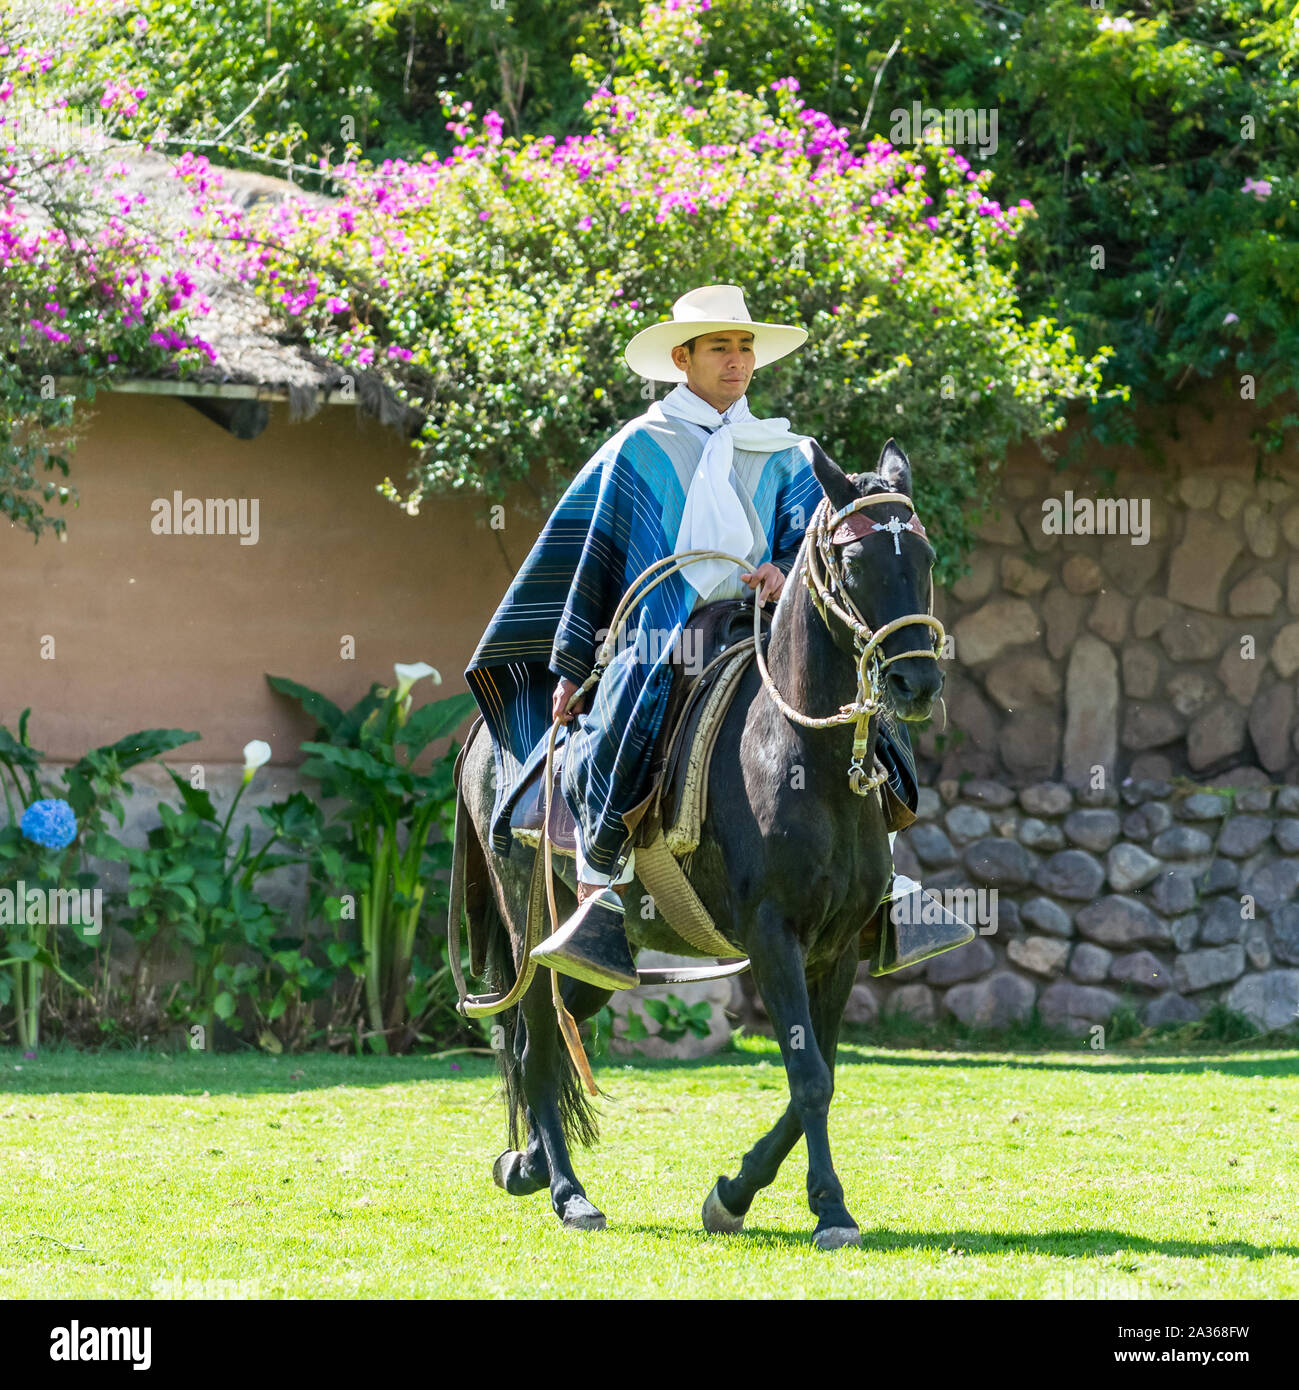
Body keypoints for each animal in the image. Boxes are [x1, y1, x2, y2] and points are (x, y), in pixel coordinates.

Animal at [454, 437, 943, 1248]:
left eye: (925, 557)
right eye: (852, 562)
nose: (916, 683)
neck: (803, 761)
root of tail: (481, 741)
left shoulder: (837, 946)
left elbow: (820, 1076)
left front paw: (735, 1194)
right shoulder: (773, 935)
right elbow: (809, 1076)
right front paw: (828, 1209)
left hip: (599, 957)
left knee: (553, 1033)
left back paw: (525, 1165)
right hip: (533, 926)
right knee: (536, 1043)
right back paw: (566, 1191)